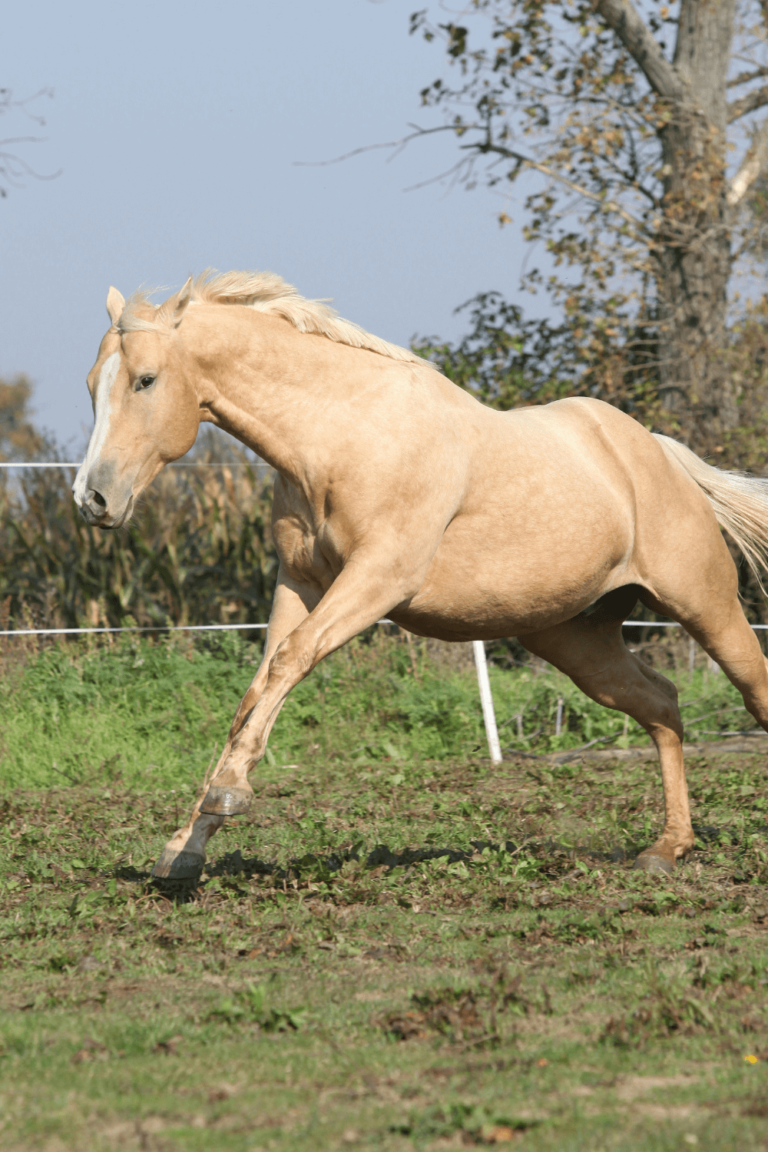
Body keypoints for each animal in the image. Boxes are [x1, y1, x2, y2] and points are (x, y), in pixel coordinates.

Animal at [72, 270, 768, 881]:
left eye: (145, 380)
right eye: (90, 385)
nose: (92, 499)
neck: (339, 438)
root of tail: (660, 453)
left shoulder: (379, 580)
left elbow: (291, 660)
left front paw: (227, 795)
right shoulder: (299, 584)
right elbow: (257, 688)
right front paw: (185, 848)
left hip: (703, 604)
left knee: (752, 688)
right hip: (576, 639)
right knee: (662, 705)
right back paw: (666, 849)